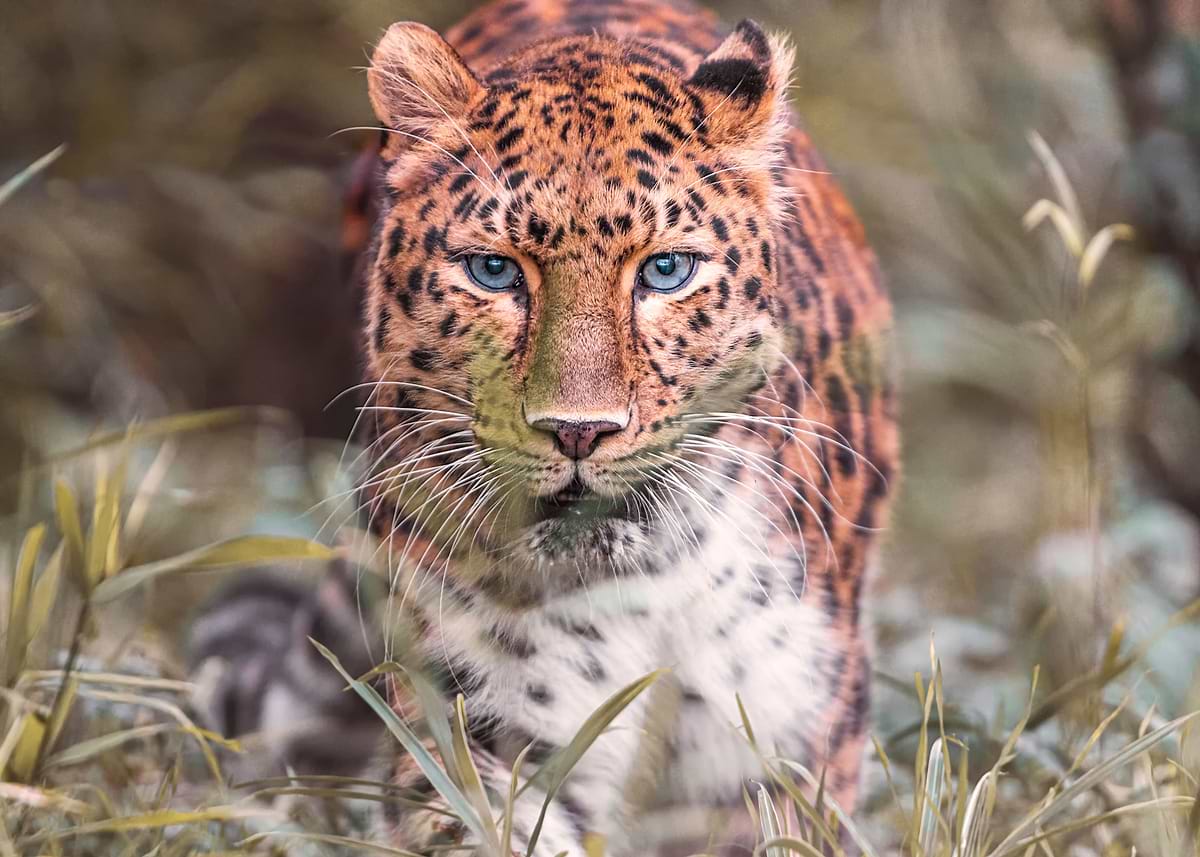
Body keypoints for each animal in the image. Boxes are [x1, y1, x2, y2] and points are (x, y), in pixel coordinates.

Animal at [193, 0, 898, 853]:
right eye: (494, 270)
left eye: (666, 271)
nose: (577, 431)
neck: (649, 585)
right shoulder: (484, 725)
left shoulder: (783, 742)